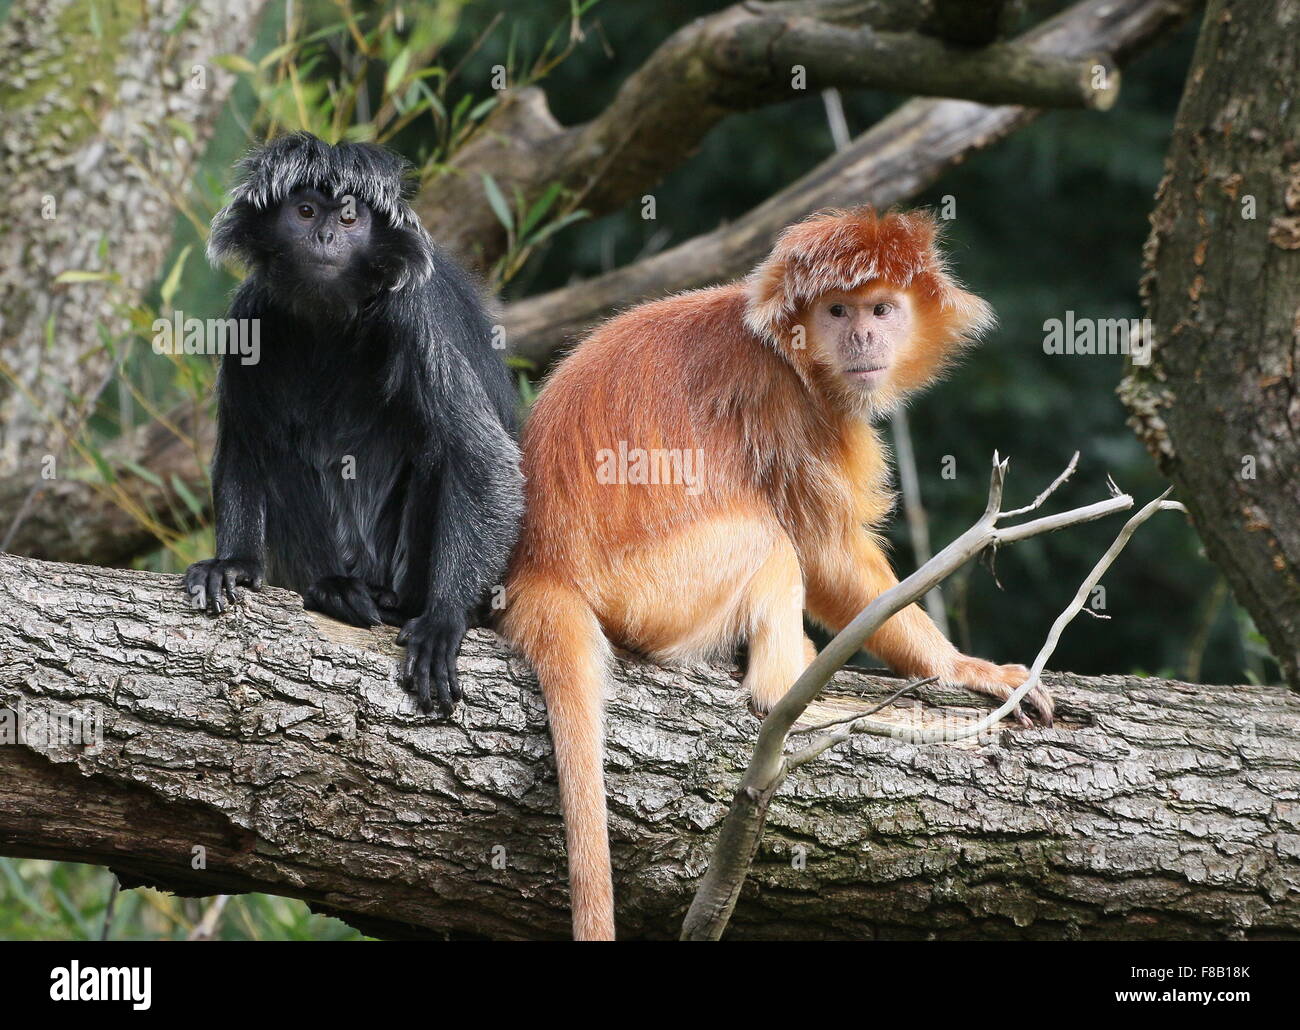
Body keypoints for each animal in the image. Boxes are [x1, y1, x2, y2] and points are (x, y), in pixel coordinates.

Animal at [186, 132, 523, 713]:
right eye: (304, 212)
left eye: (348, 219)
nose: (324, 235)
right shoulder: (252, 313)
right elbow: (245, 445)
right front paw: (233, 562)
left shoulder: (414, 307)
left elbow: (482, 457)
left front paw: (443, 620)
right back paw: (334, 589)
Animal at [500, 206, 1050, 940]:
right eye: (838, 311)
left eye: (880, 308)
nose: (864, 334)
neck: (788, 350)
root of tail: (544, 569)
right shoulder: (790, 406)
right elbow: (825, 555)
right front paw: (963, 667)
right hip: (654, 589)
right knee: (773, 547)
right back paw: (795, 700)